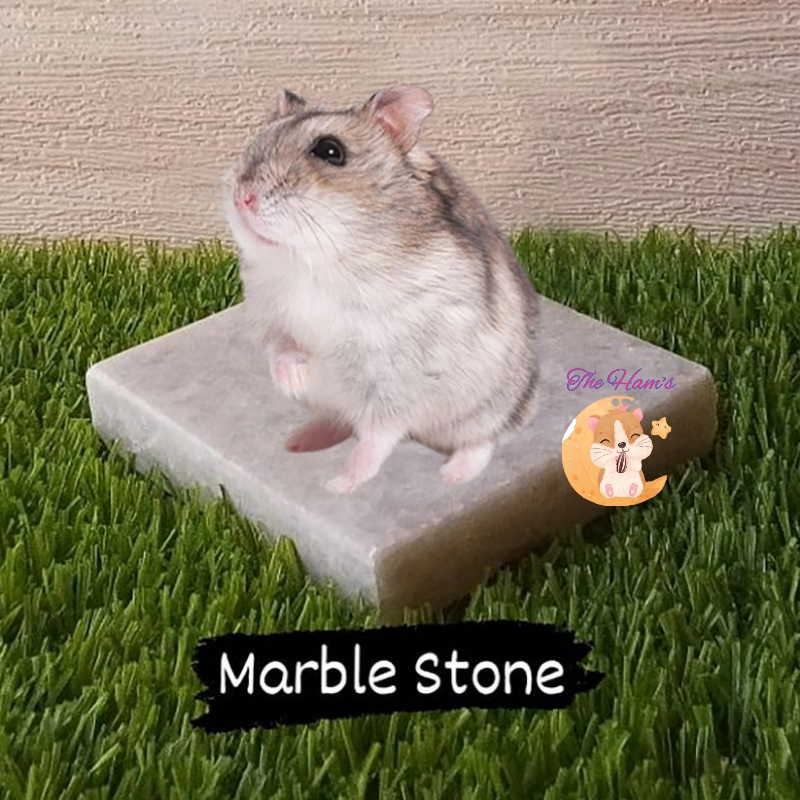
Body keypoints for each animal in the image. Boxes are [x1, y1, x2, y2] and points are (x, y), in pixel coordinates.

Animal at [224, 85, 540, 494]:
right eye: (257, 140)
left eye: (330, 151)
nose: (241, 197)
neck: (319, 263)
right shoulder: (270, 316)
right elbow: (281, 349)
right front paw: (294, 381)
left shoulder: (395, 377)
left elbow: (378, 434)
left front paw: (338, 485)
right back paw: (297, 442)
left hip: (488, 408)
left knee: (482, 441)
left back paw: (451, 477)